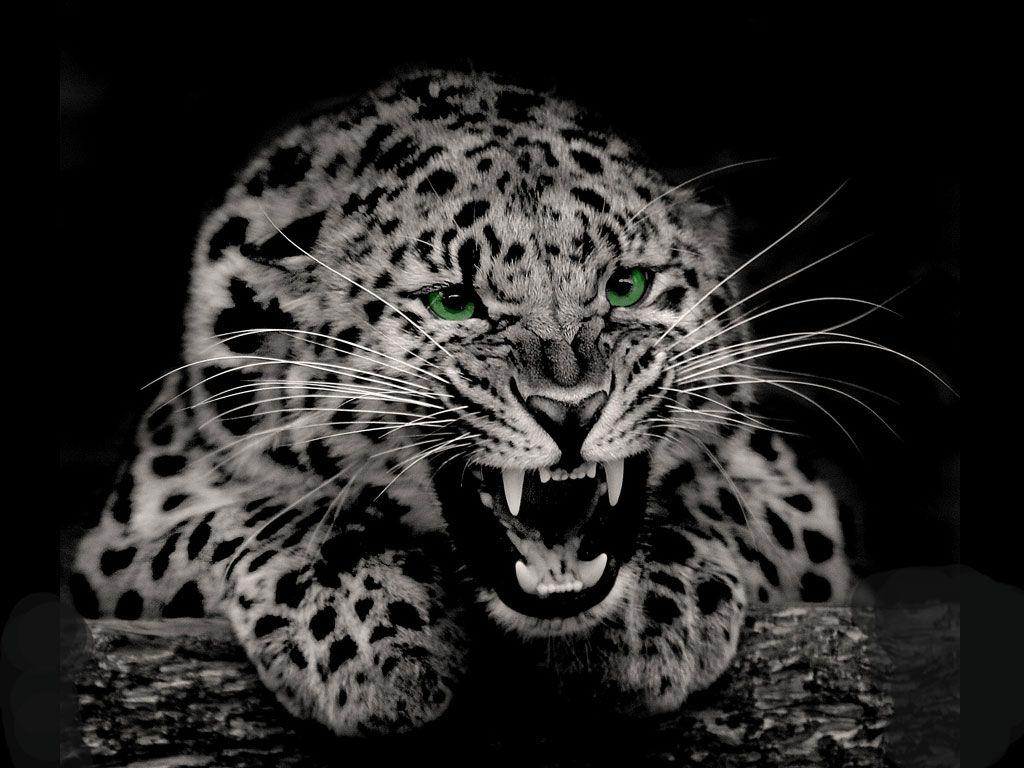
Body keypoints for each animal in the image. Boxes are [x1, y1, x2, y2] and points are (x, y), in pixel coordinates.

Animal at [71, 69, 856, 736]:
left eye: (626, 287)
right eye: (454, 302)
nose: (571, 409)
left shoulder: (799, 506)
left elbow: (720, 502)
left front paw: (655, 608)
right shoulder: (126, 534)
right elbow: (263, 519)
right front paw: (365, 629)